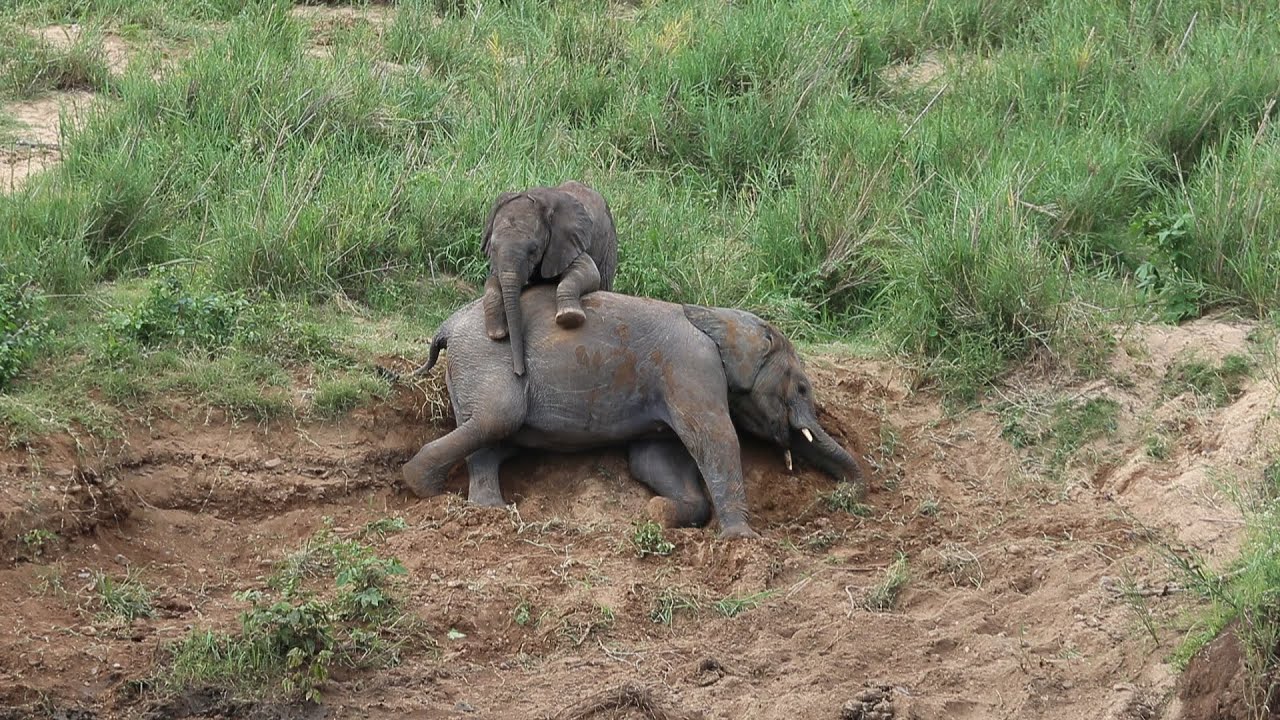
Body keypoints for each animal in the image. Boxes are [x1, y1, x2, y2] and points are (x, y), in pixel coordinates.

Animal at [401, 285, 864, 539]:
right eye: (801, 388)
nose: (853, 493)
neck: (716, 317)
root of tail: (445, 327)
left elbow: (652, 459)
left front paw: (656, 512)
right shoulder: (690, 366)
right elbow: (716, 440)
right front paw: (742, 539)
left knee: (492, 439)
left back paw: (490, 512)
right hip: (486, 361)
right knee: (497, 418)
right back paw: (422, 484)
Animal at [480, 180, 618, 376]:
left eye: (533, 250)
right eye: (493, 247)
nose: (519, 373)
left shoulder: (565, 241)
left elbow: (591, 273)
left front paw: (570, 317)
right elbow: (492, 281)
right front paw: (496, 333)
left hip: (608, 243)